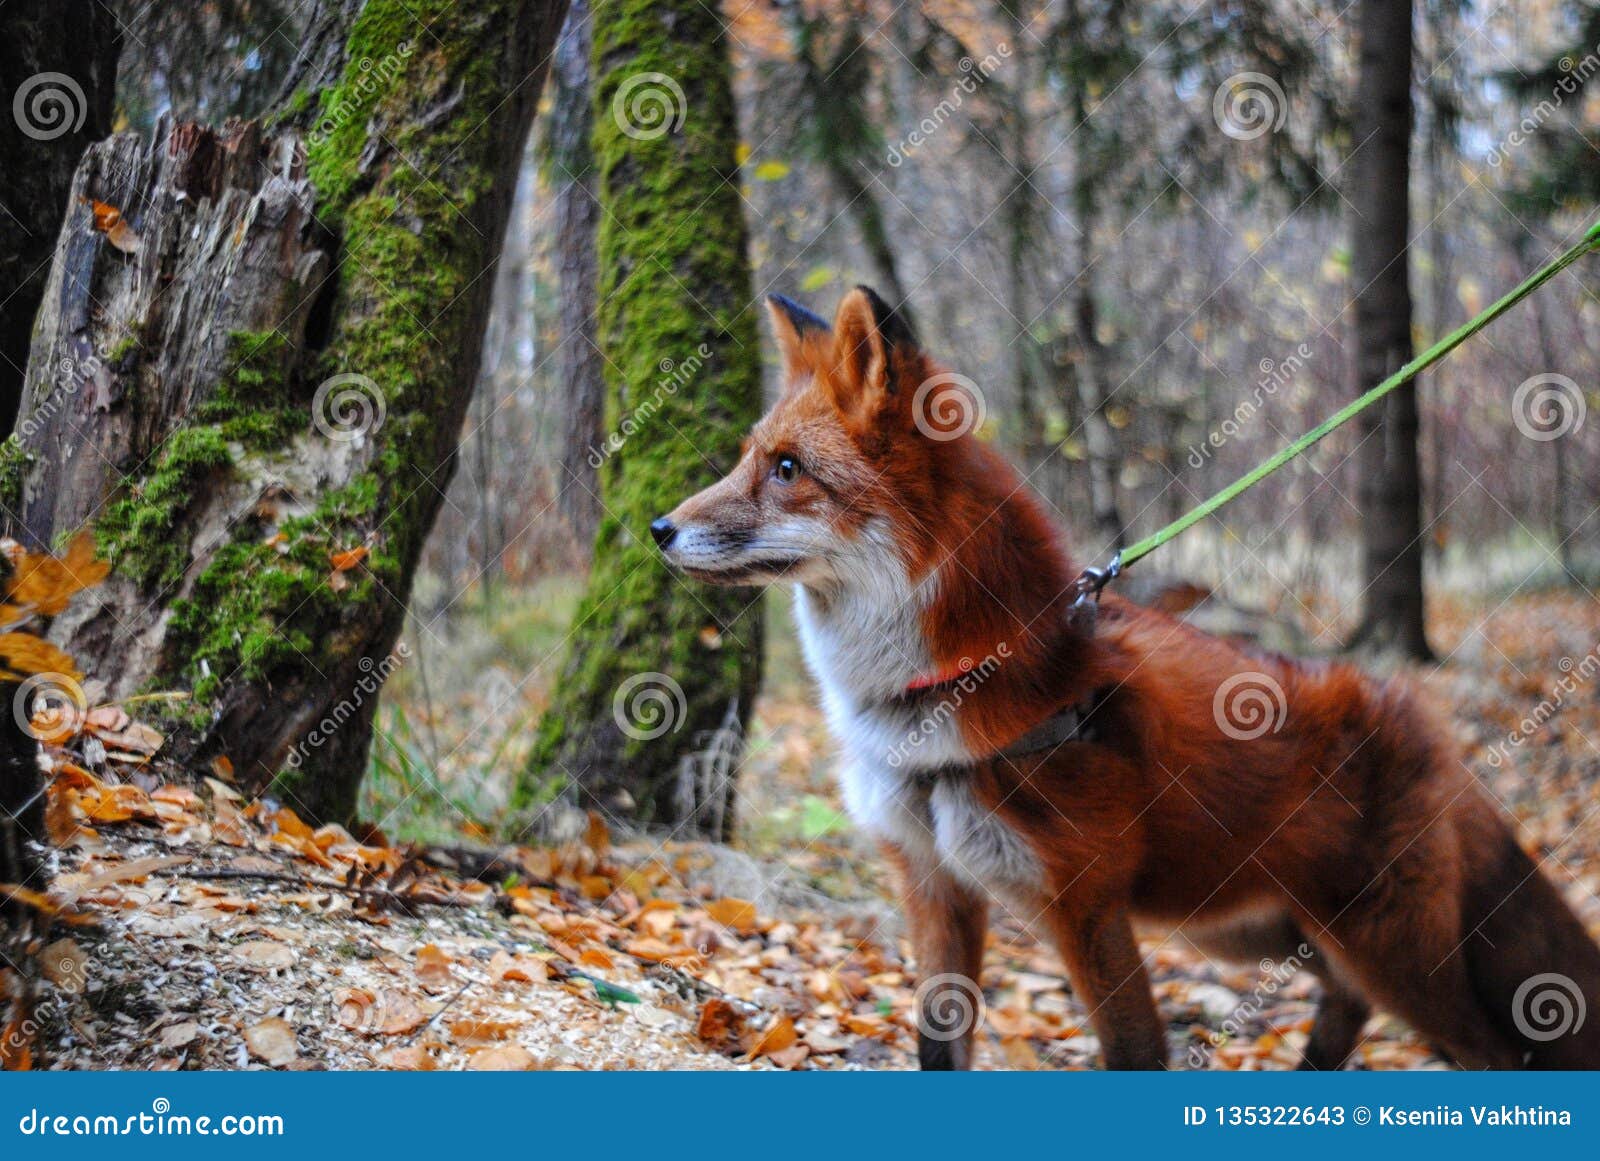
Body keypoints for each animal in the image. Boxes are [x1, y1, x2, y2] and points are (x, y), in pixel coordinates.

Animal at [652, 286, 1600, 1070]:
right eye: (747, 459)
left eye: (786, 469)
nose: (659, 527)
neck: (934, 694)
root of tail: (1422, 720)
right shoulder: (934, 885)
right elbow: (937, 1049)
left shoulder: (1084, 907)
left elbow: (1135, 1052)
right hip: (1249, 927)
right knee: (1346, 1003)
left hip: (1387, 955)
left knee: (1490, 1049)